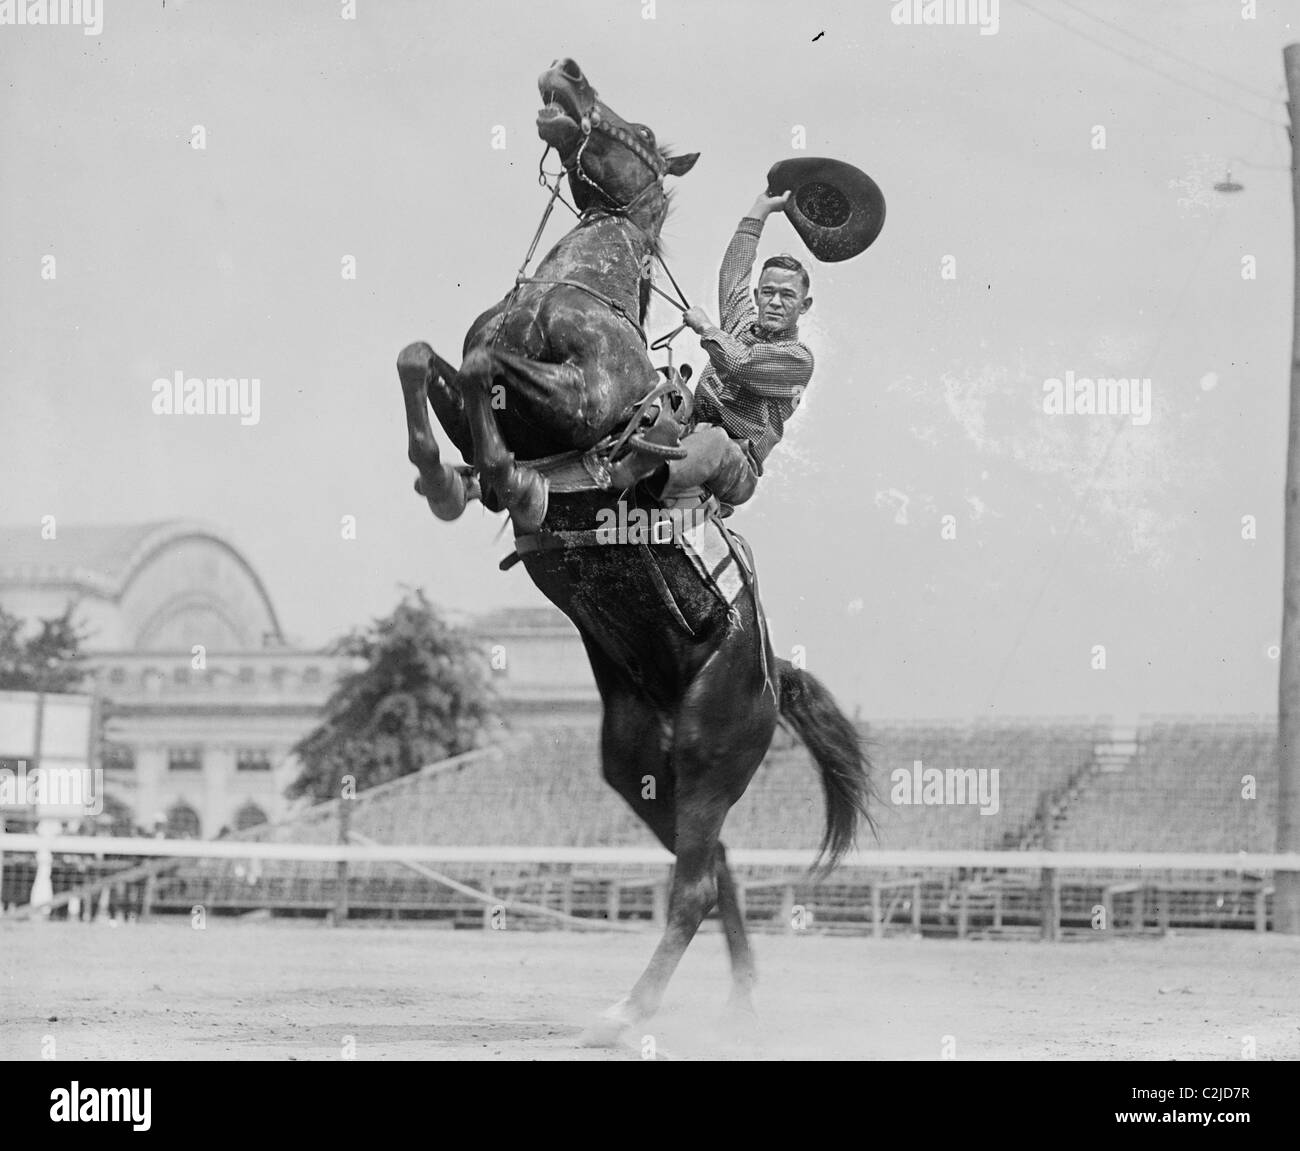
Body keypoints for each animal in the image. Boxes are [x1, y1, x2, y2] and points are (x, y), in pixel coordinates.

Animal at [392, 56, 873, 1040]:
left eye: (642, 132)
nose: (566, 71)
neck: (573, 293)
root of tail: (772, 678)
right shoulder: (471, 381)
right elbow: (425, 357)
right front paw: (444, 477)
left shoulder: (580, 400)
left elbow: (494, 376)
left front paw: (507, 483)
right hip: (641, 769)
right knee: (714, 869)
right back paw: (739, 1002)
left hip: (710, 755)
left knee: (692, 885)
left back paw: (624, 1014)